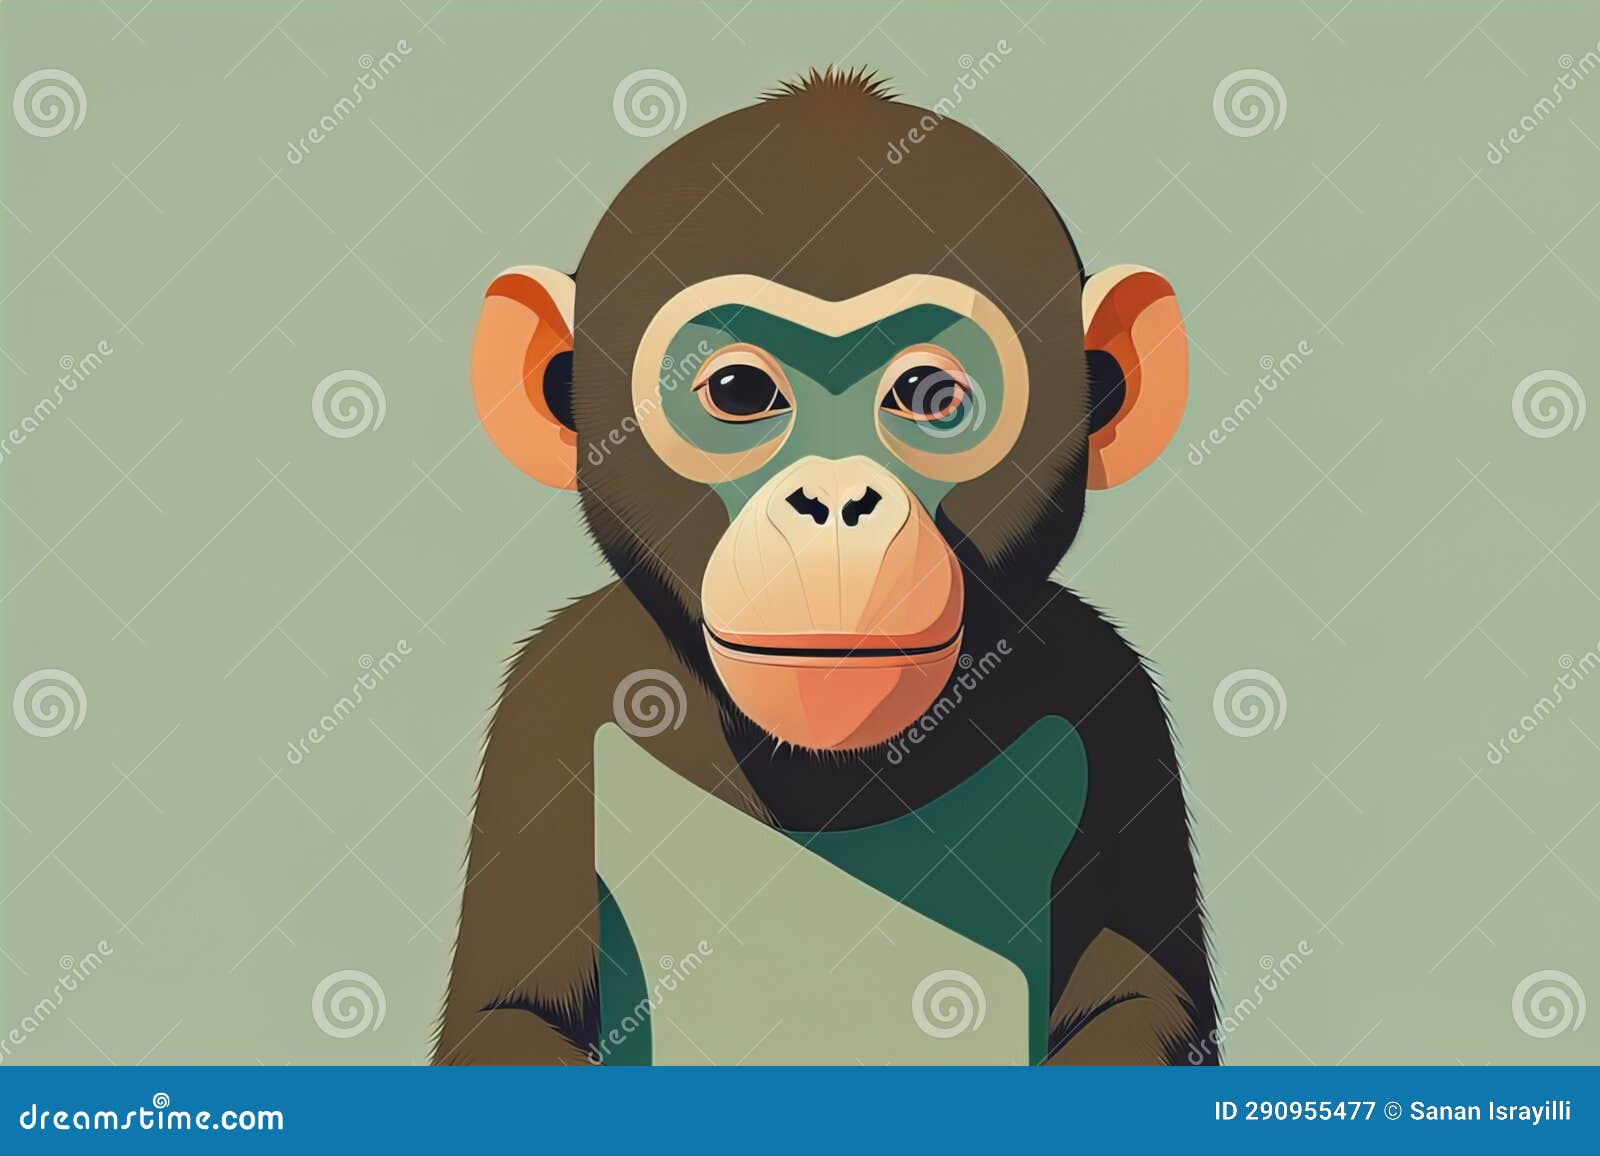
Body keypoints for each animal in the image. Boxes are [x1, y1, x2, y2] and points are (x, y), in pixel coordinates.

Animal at [435, 67, 1214, 1066]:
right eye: (739, 391)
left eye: (930, 395)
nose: (838, 501)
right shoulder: (551, 700)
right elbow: (513, 1014)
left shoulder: (1110, 696)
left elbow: (1138, 1003)